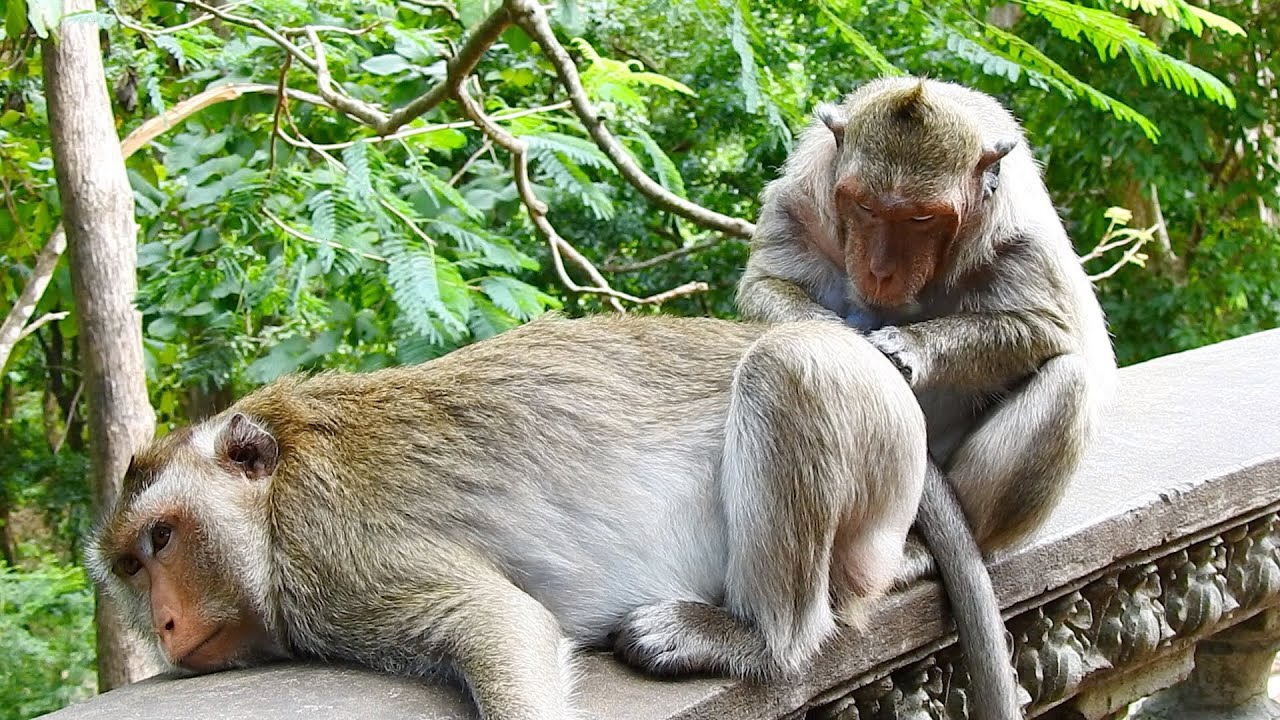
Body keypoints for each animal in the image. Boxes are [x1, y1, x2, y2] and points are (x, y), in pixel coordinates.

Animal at [90, 314, 930, 720]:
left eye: (165, 536)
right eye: (132, 565)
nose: (163, 621)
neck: (275, 498)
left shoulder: (330, 556)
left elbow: (499, 623)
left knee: (784, 367)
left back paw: (753, 638)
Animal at [737, 77, 1119, 720]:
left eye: (921, 218)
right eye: (866, 207)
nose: (881, 271)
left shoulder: (1015, 231)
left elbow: (1050, 329)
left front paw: (904, 349)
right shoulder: (803, 198)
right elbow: (767, 283)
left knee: (1068, 381)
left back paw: (929, 550)